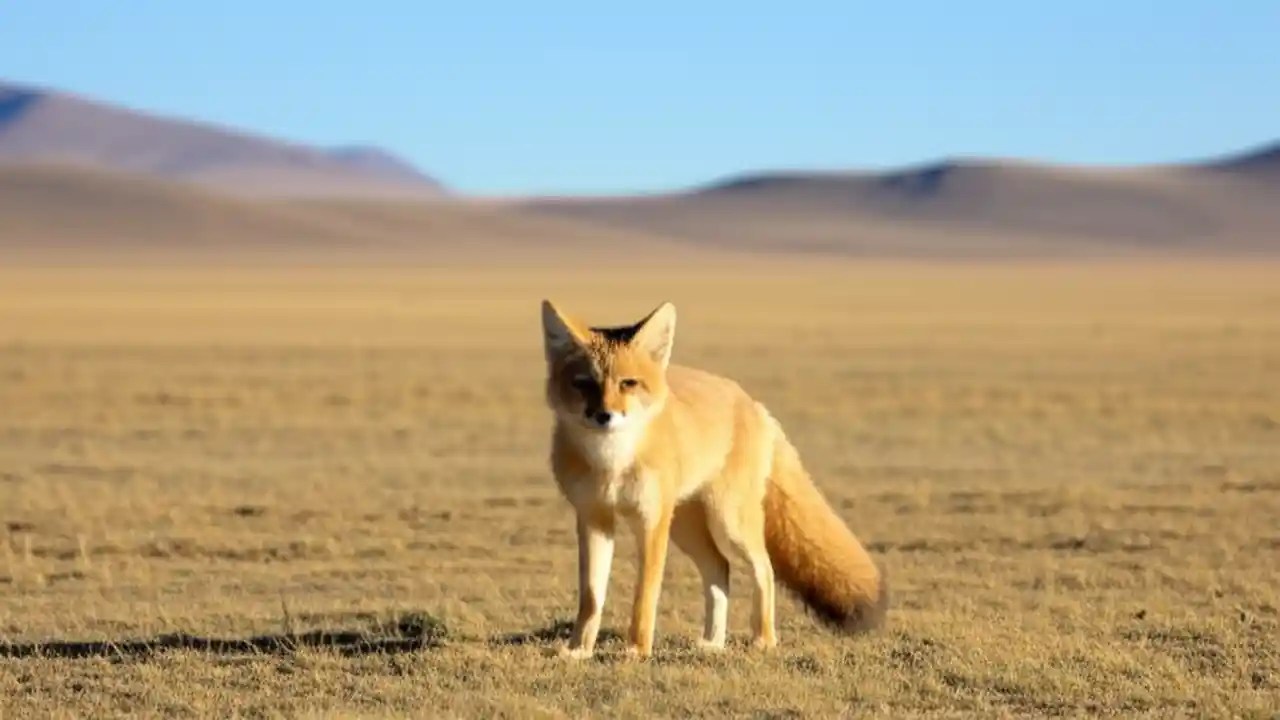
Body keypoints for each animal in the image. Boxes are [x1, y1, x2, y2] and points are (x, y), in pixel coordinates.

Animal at [540, 299, 888, 659]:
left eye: (628, 383)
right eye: (584, 384)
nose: (604, 415)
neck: (612, 463)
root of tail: (752, 402)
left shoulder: (651, 523)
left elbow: (644, 597)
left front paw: (636, 649)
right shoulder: (593, 518)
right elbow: (591, 597)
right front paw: (579, 650)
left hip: (727, 523)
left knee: (763, 568)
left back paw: (764, 639)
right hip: (687, 528)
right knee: (720, 569)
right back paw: (714, 643)